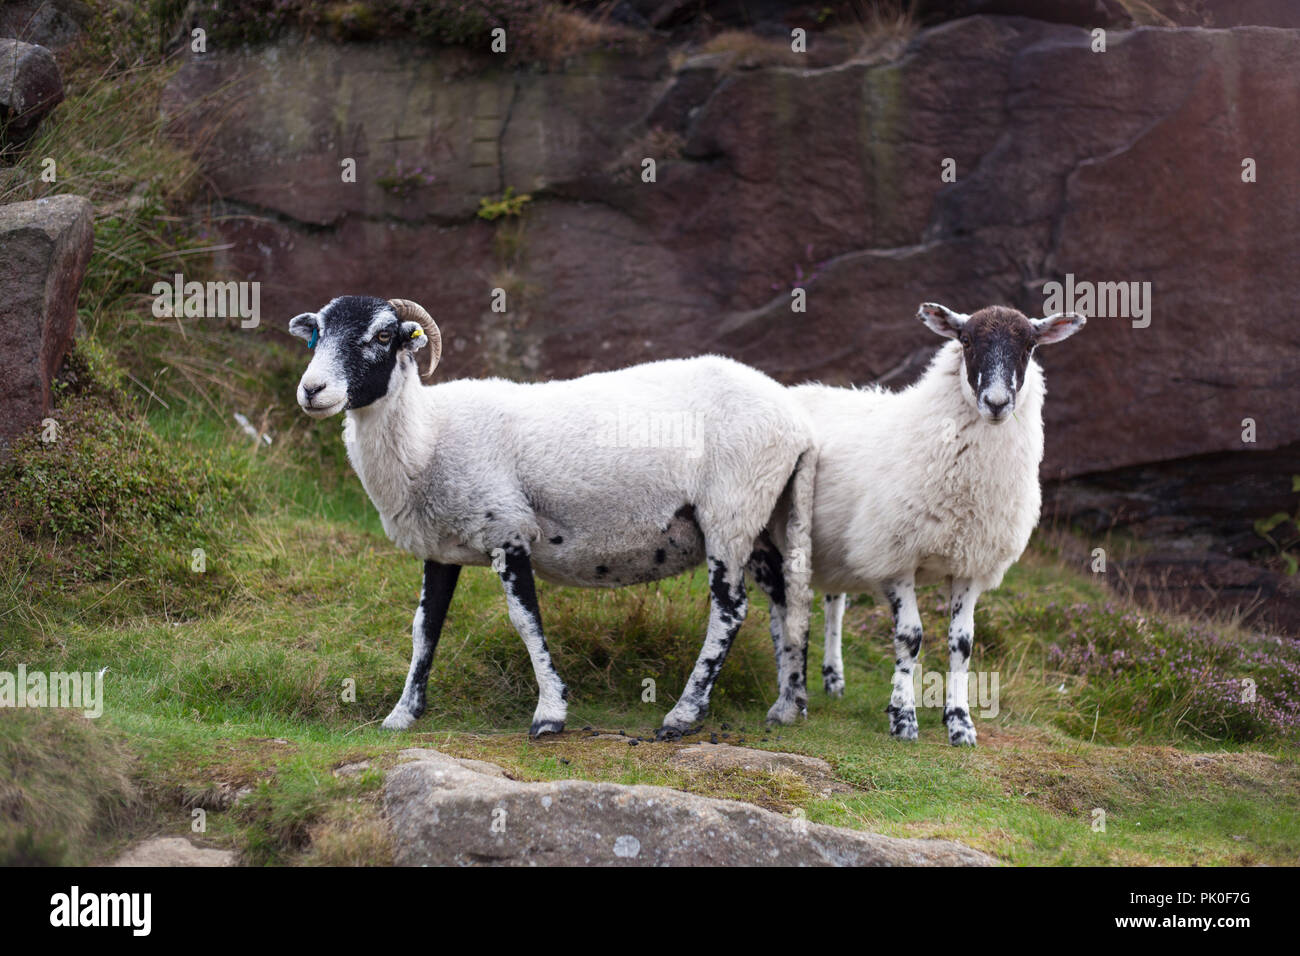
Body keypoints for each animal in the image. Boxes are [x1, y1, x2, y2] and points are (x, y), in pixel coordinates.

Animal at [288, 295, 817, 739]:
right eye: (315, 336)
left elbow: (525, 621)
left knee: (731, 610)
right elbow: (425, 628)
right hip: (764, 515)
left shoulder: (509, 531)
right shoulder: (441, 550)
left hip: (730, 511)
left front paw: (550, 714)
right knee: (785, 598)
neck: (428, 435)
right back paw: (788, 705)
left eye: (382, 336)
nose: (312, 390)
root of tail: (797, 422)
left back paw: (684, 715)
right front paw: (402, 714)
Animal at [770, 302, 1085, 746]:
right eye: (965, 340)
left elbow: (962, 644)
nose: (996, 402)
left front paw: (960, 722)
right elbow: (910, 638)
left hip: (839, 544)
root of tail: (797, 389)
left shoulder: (970, 563)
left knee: (835, 604)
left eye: (1029, 345)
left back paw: (833, 679)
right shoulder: (896, 554)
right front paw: (903, 717)